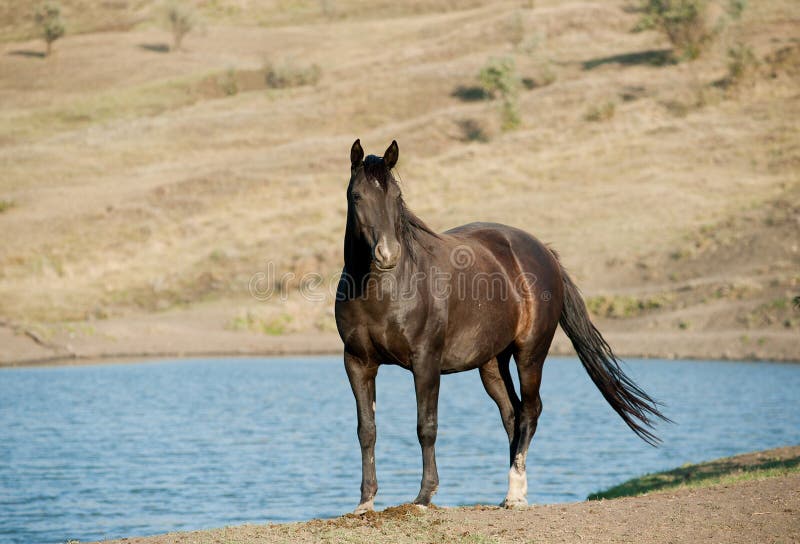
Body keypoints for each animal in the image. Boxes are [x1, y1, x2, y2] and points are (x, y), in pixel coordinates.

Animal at [334, 139, 668, 514]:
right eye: (358, 196)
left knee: (531, 411)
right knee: (512, 414)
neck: (386, 290)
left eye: (396, 196)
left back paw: (514, 493)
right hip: (492, 363)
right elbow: (367, 429)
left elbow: (426, 426)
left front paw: (424, 496)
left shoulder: (425, 363)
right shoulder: (357, 363)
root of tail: (544, 252)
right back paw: (514, 490)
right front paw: (365, 502)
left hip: (530, 354)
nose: (387, 255)